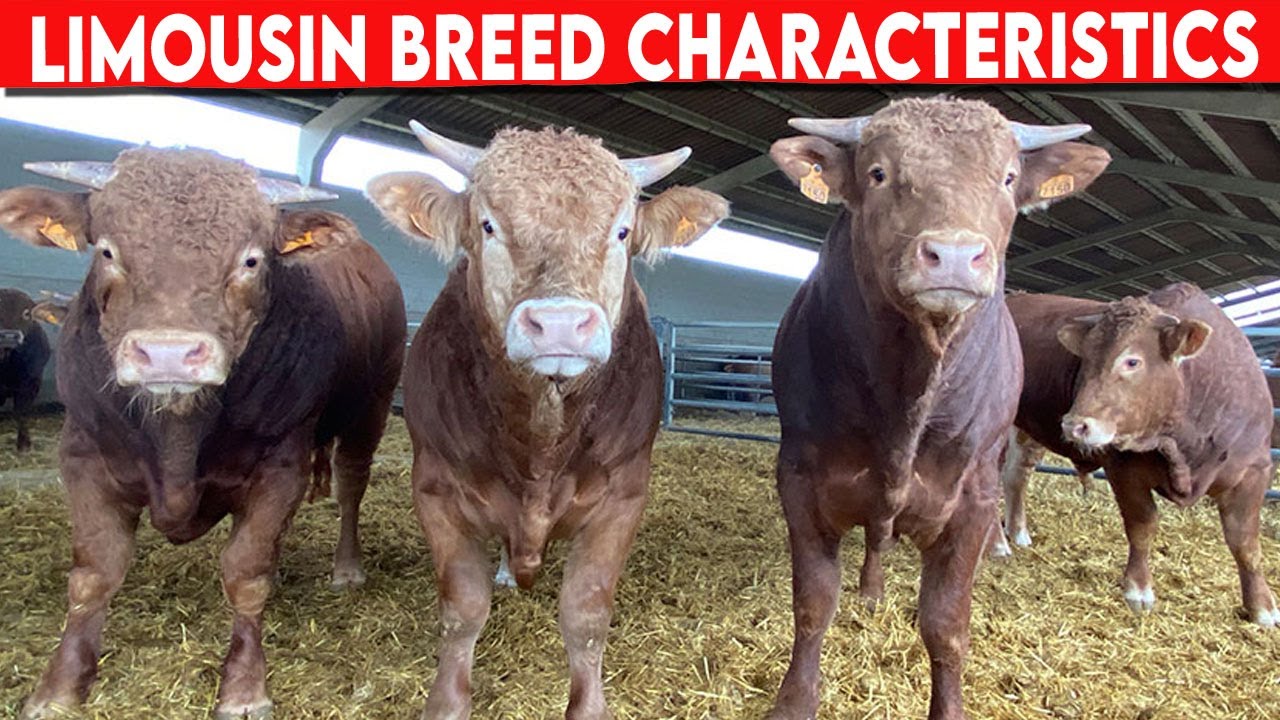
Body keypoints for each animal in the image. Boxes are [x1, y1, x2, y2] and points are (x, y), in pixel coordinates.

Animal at [365, 121, 728, 719]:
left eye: (623, 231)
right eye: (488, 224)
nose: (560, 324)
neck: (541, 437)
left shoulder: (624, 496)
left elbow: (586, 614)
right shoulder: (434, 487)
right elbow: (462, 608)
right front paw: (446, 702)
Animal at [765, 97, 1110, 720]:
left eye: (1008, 178)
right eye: (878, 173)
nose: (953, 254)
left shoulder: (969, 500)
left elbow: (946, 624)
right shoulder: (799, 477)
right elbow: (812, 604)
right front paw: (794, 702)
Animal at [996, 285, 1277, 625]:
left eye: (1132, 362)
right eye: (1086, 358)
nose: (1074, 424)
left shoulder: (1253, 471)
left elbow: (1245, 543)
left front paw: (1262, 607)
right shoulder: (1122, 466)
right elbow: (1142, 525)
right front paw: (1138, 590)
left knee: (1016, 474)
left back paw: (1018, 532)